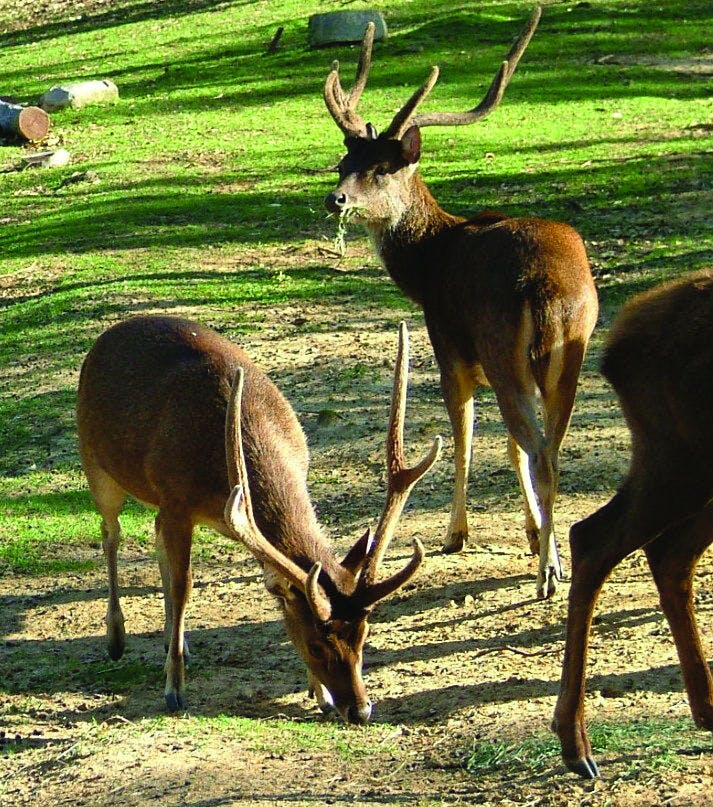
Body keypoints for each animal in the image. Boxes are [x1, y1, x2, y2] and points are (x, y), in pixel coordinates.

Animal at [76, 315, 441, 722]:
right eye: (315, 645)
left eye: (363, 634)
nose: (360, 710)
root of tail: (110, 333)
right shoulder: (176, 500)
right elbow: (185, 585)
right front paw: (174, 690)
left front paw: (319, 695)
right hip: (95, 460)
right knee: (111, 531)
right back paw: (117, 636)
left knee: (152, 537)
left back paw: (175, 642)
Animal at [322, 7, 599, 599]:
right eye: (343, 163)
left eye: (382, 169)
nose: (336, 199)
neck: (429, 261)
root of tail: (547, 291)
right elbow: (512, 447)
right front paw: (530, 532)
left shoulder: (449, 344)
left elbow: (465, 434)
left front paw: (456, 534)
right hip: (571, 352)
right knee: (550, 450)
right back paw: (552, 558)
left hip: (501, 346)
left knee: (538, 450)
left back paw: (547, 575)